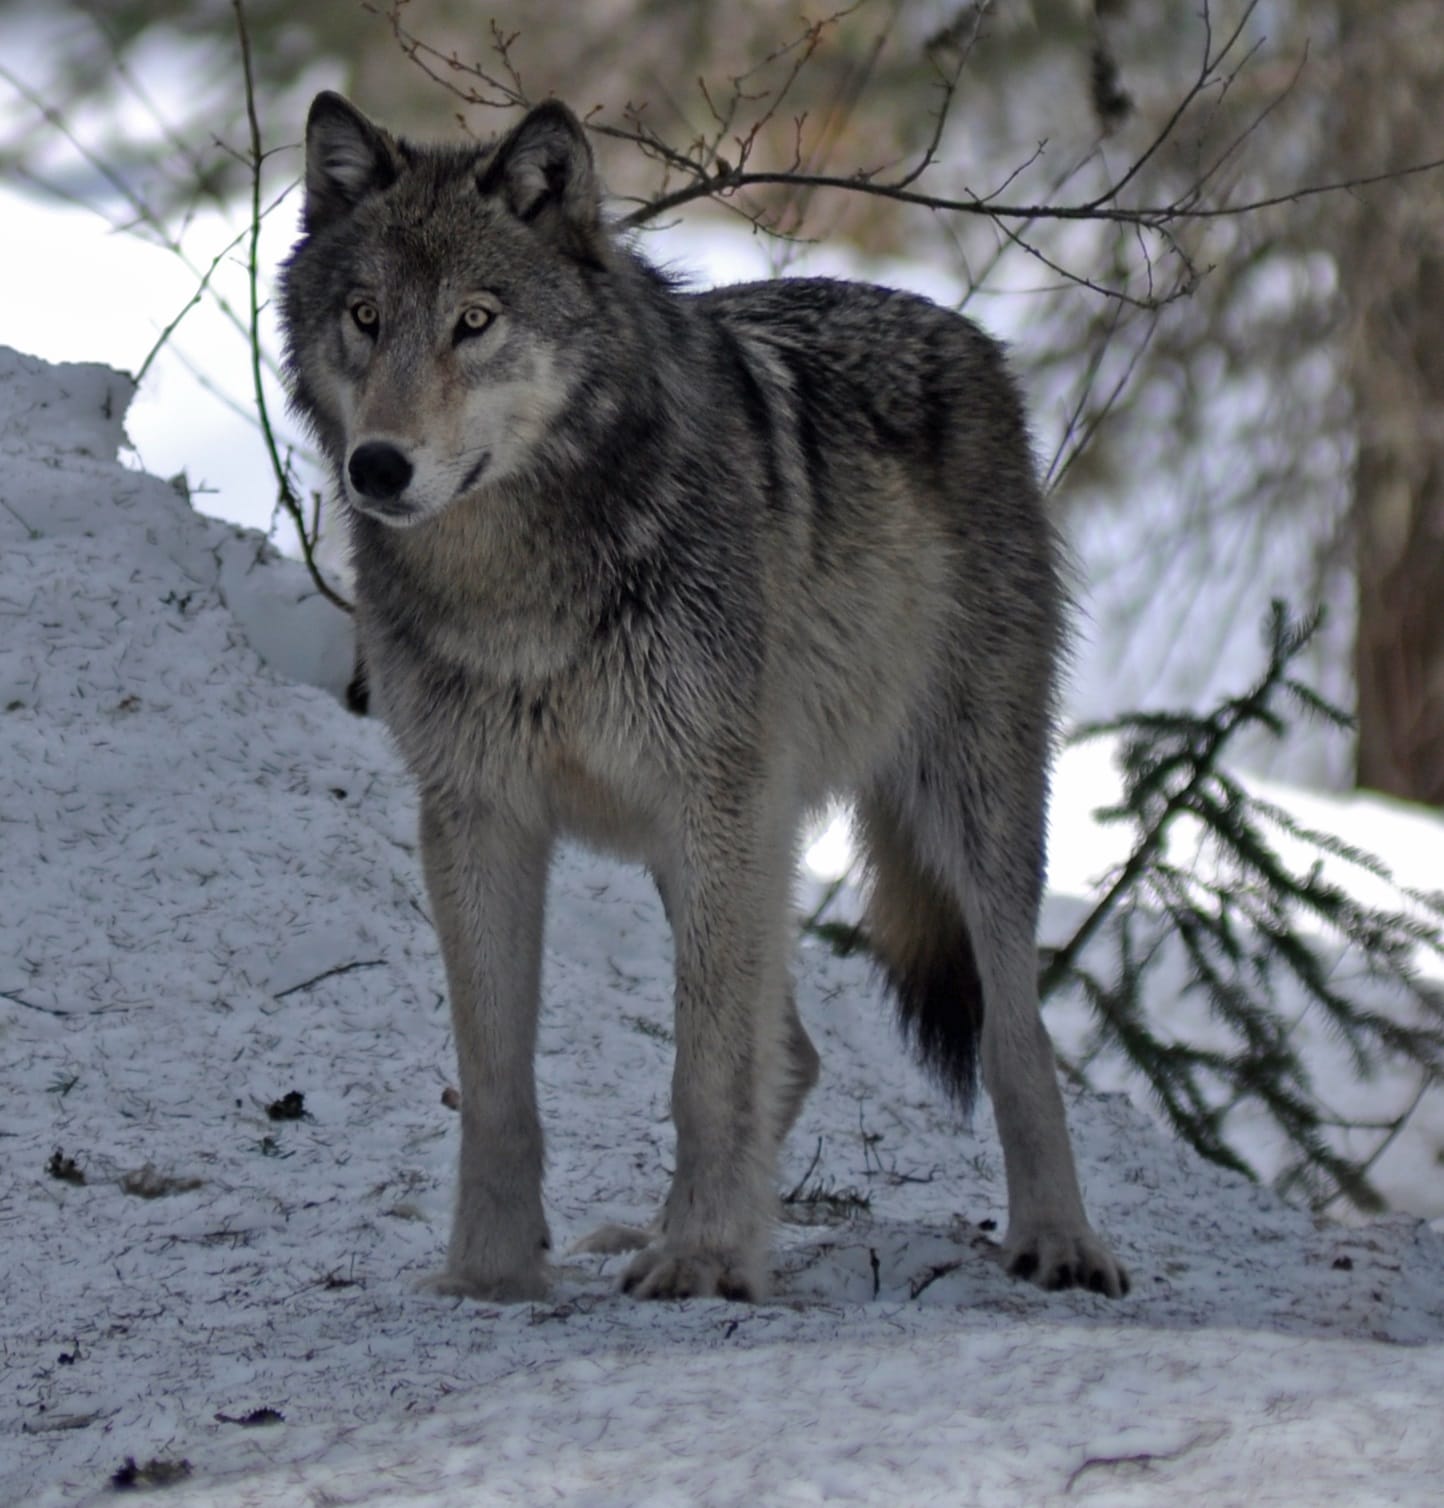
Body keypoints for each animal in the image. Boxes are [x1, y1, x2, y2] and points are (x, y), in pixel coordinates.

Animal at [279, 91, 1129, 1304]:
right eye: (364, 315)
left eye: (474, 322)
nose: (379, 468)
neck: (519, 583)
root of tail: (966, 335)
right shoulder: (478, 814)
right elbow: (496, 1087)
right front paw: (493, 1272)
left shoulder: (714, 799)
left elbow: (705, 1067)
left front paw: (709, 1256)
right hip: (708, 842)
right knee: (796, 1049)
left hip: (944, 808)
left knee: (1016, 1037)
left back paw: (1056, 1240)